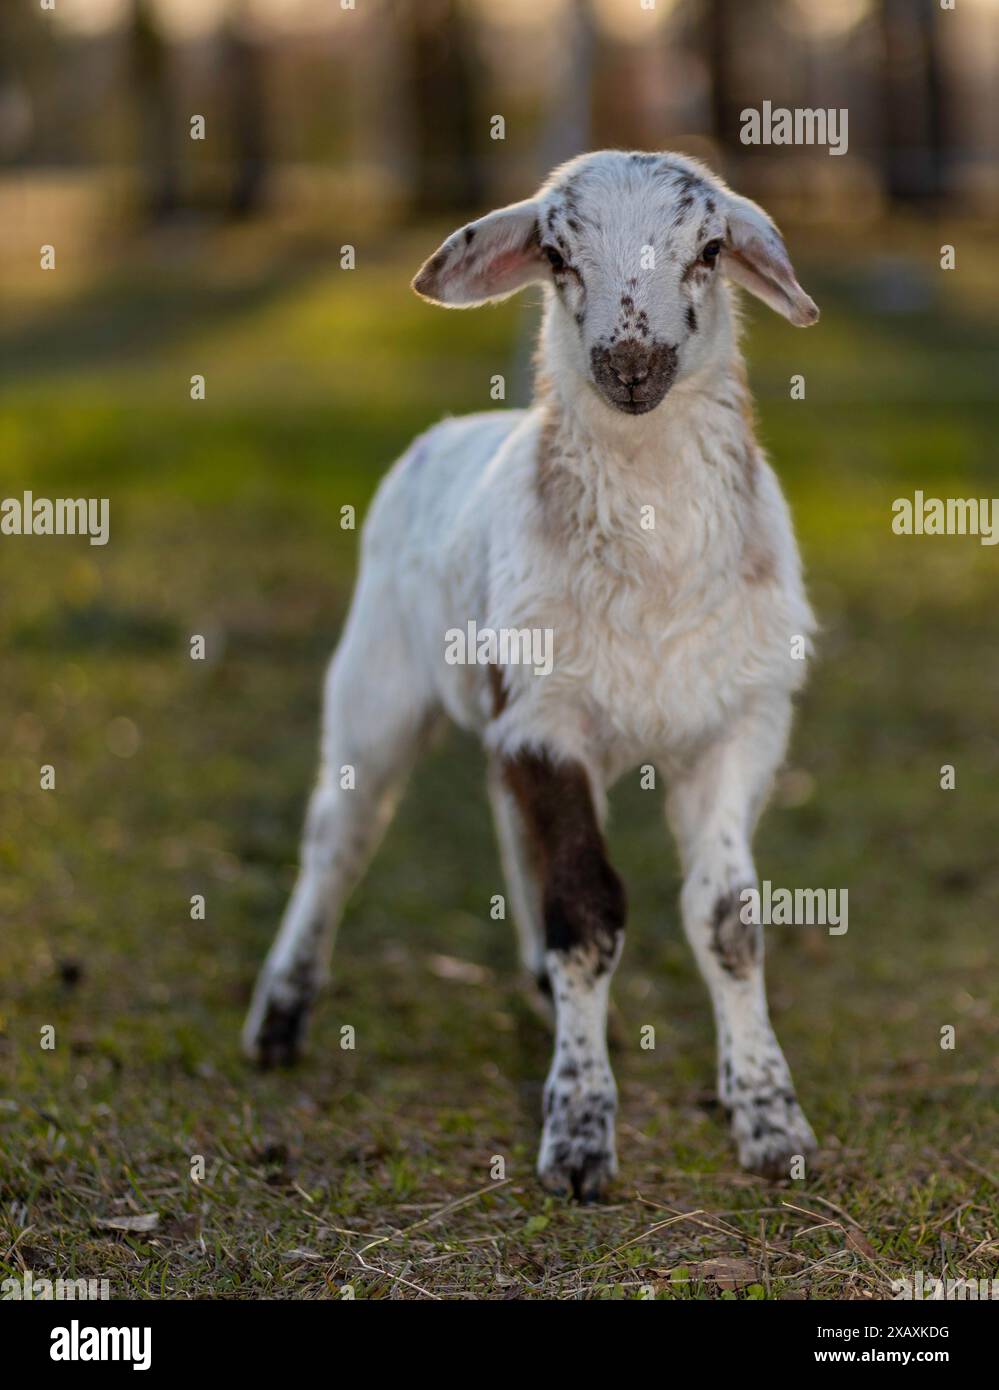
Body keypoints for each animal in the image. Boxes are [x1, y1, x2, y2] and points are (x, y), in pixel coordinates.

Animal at [242, 150, 821, 1200]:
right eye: (555, 254)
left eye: (710, 248)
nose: (629, 365)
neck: (654, 554)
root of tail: (451, 429)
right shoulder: (546, 724)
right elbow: (586, 914)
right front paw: (580, 1139)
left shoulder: (736, 724)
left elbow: (726, 922)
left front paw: (769, 1120)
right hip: (375, 689)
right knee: (336, 842)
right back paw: (279, 1017)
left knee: (502, 824)